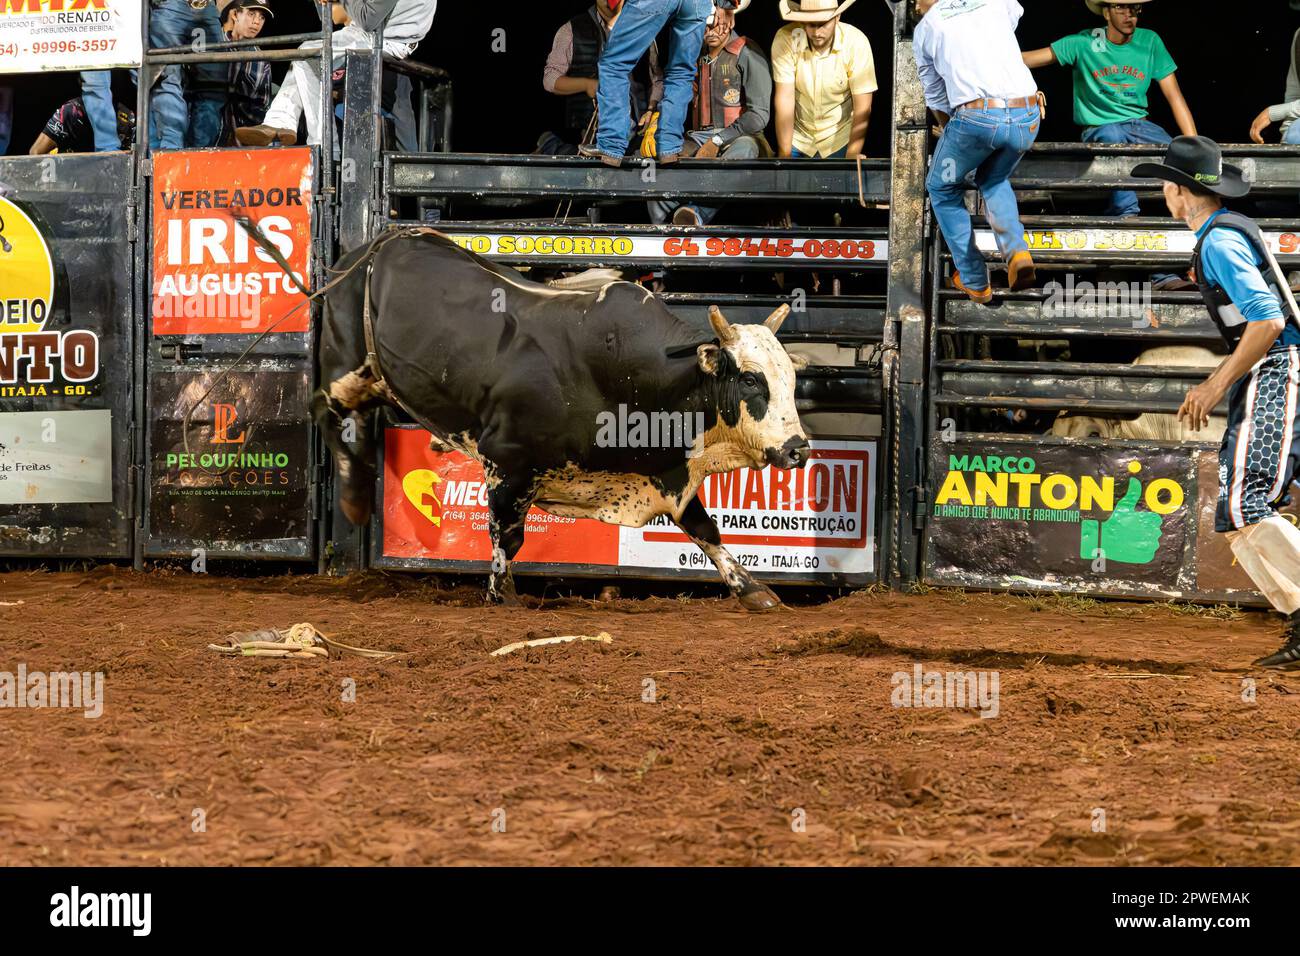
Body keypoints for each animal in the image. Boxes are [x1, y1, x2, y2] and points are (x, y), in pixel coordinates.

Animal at [312, 229, 811, 610]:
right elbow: (507, 536)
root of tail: (375, 247)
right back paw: (354, 495)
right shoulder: (507, 463)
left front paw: (752, 588)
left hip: (376, 376)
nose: (798, 450)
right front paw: (501, 593)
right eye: (750, 379)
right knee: (325, 412)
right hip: (344, 364)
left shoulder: (667, 472)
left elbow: (705, 528)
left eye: (789, 379)